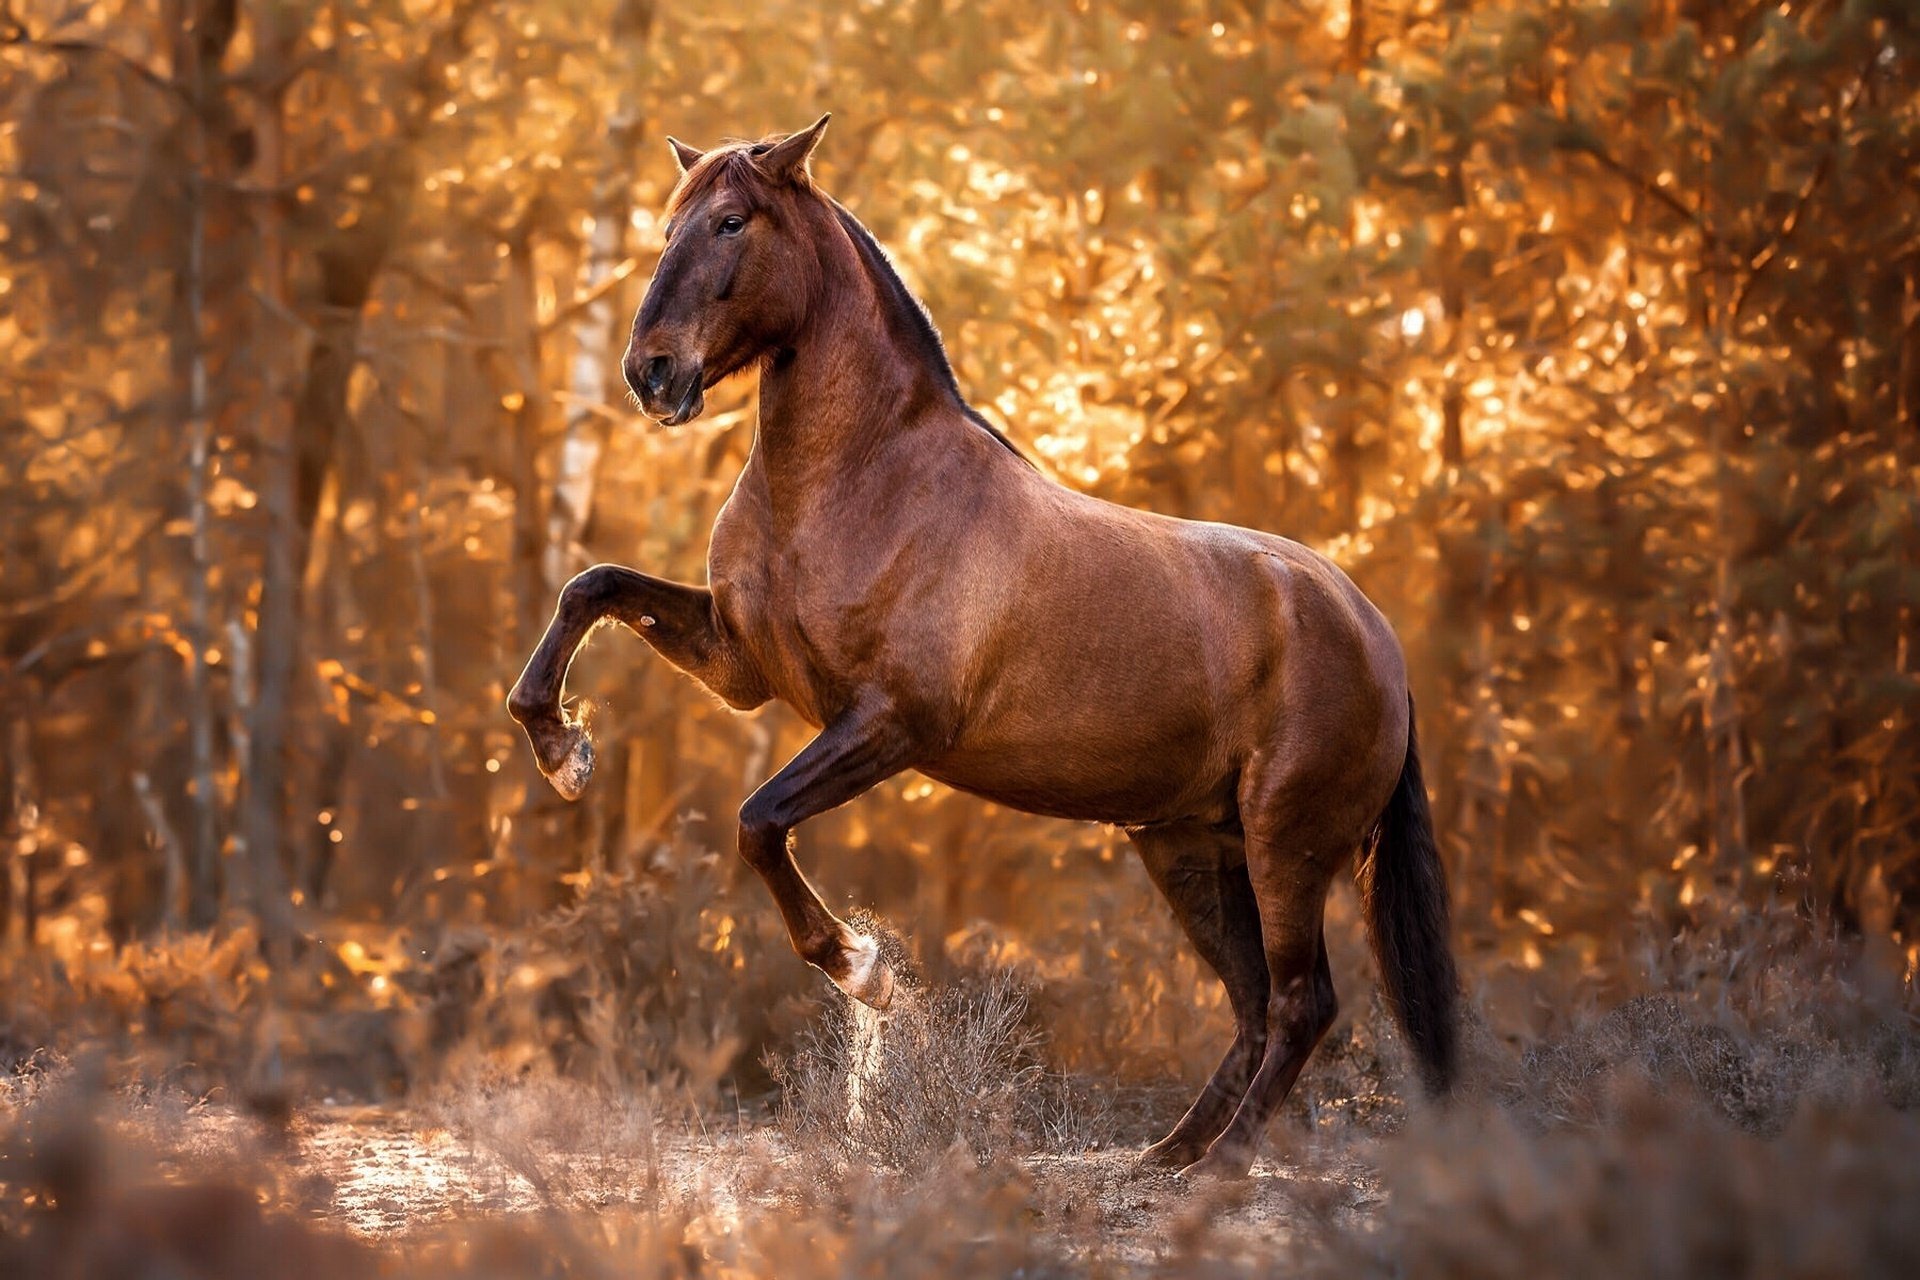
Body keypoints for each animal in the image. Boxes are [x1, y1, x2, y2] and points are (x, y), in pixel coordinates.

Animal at [507, 115, 1460, 1179]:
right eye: (670, 224)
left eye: (730, 222)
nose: (652, 374)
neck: (859, 480)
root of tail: (1373, 636)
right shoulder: (739, 665)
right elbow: (591, 587)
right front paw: (561, 752)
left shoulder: (892, 723)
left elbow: (759, 821)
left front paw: (863, 971)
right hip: (1188, 850)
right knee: (1254, 1006)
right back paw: (1167, 1158)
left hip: (1285, 846)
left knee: (1302, 1003)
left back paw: (1219, 1166)